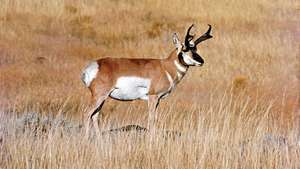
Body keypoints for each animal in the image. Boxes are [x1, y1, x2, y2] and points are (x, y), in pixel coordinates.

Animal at [82, 24, 212, 136]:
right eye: (184, 49)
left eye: (195, 49)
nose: (201, 61)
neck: (165, 67)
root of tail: (94, 66)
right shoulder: (153, 97)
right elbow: (152, 118)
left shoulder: (158, 100)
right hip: (99, 96)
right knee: (87, 113)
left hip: (103, 98)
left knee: (95, 115)